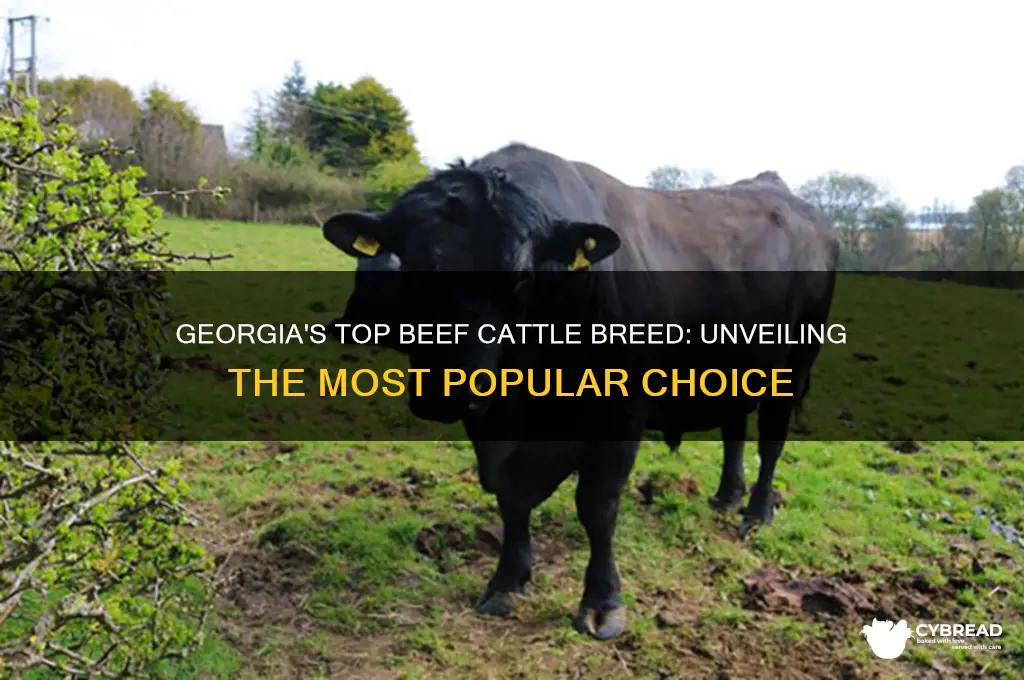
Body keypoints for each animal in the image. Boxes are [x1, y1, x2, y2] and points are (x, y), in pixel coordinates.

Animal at [320, 143, 838, 640]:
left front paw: (602, 603)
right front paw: (506, 581)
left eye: (519, 277)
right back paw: (728, 495)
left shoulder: (621, 417)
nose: (446, 391)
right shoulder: (489, 423)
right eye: (410, 270)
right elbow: (510, 501)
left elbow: (597, 507)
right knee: (734, 427)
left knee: (770, 441)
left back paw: (756, 512)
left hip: (795, 365)